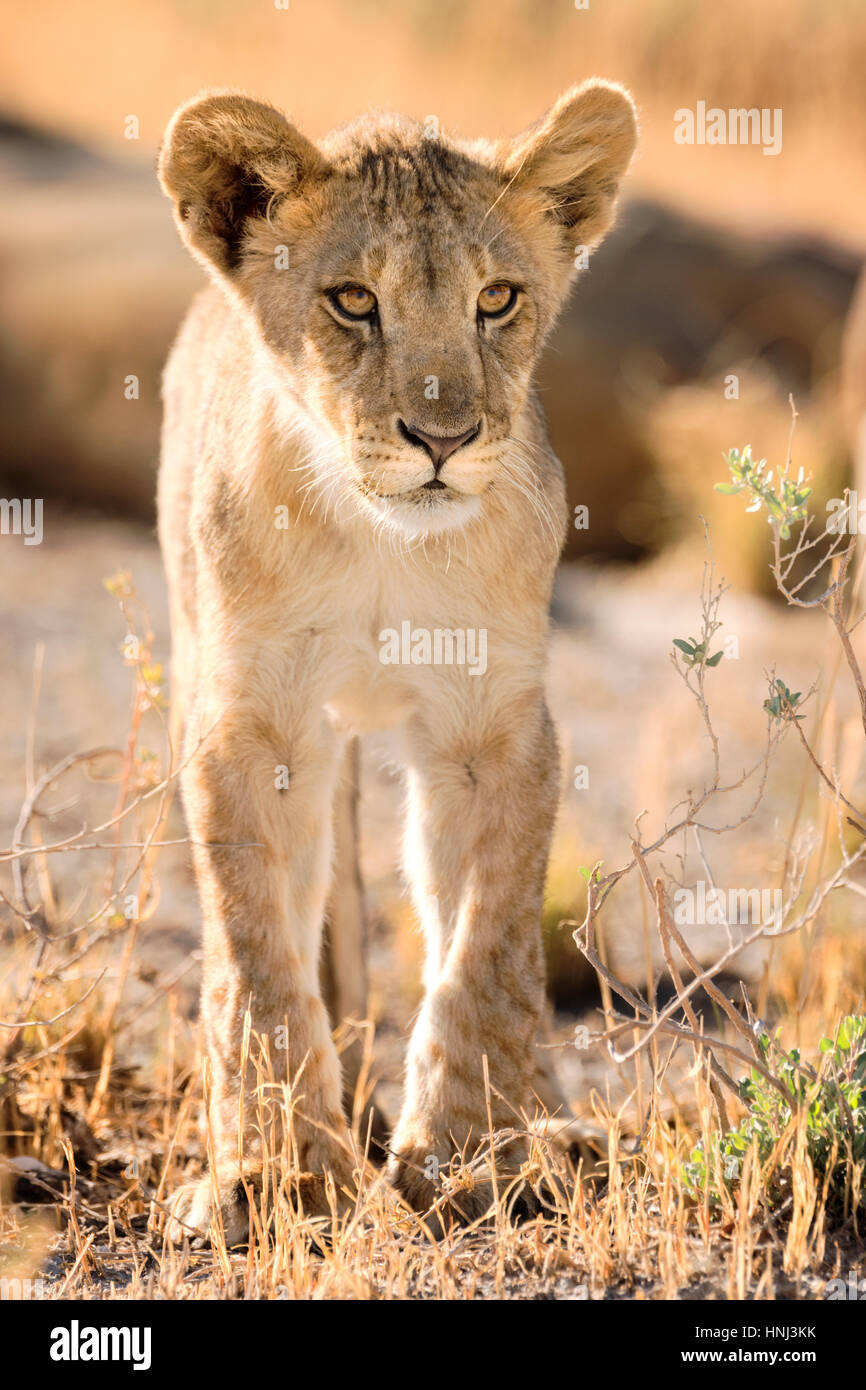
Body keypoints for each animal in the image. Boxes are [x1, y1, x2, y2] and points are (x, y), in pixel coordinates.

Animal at [157, 81, 637, 1242]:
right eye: (351, 301)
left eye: (497, 299)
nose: (442, 437)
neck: (379, 541)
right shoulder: (250, 727)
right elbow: (257, 953)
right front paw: (275, 1175)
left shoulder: (493, 729)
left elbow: (486, 951)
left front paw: (463, 1157)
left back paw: (558, 1133)